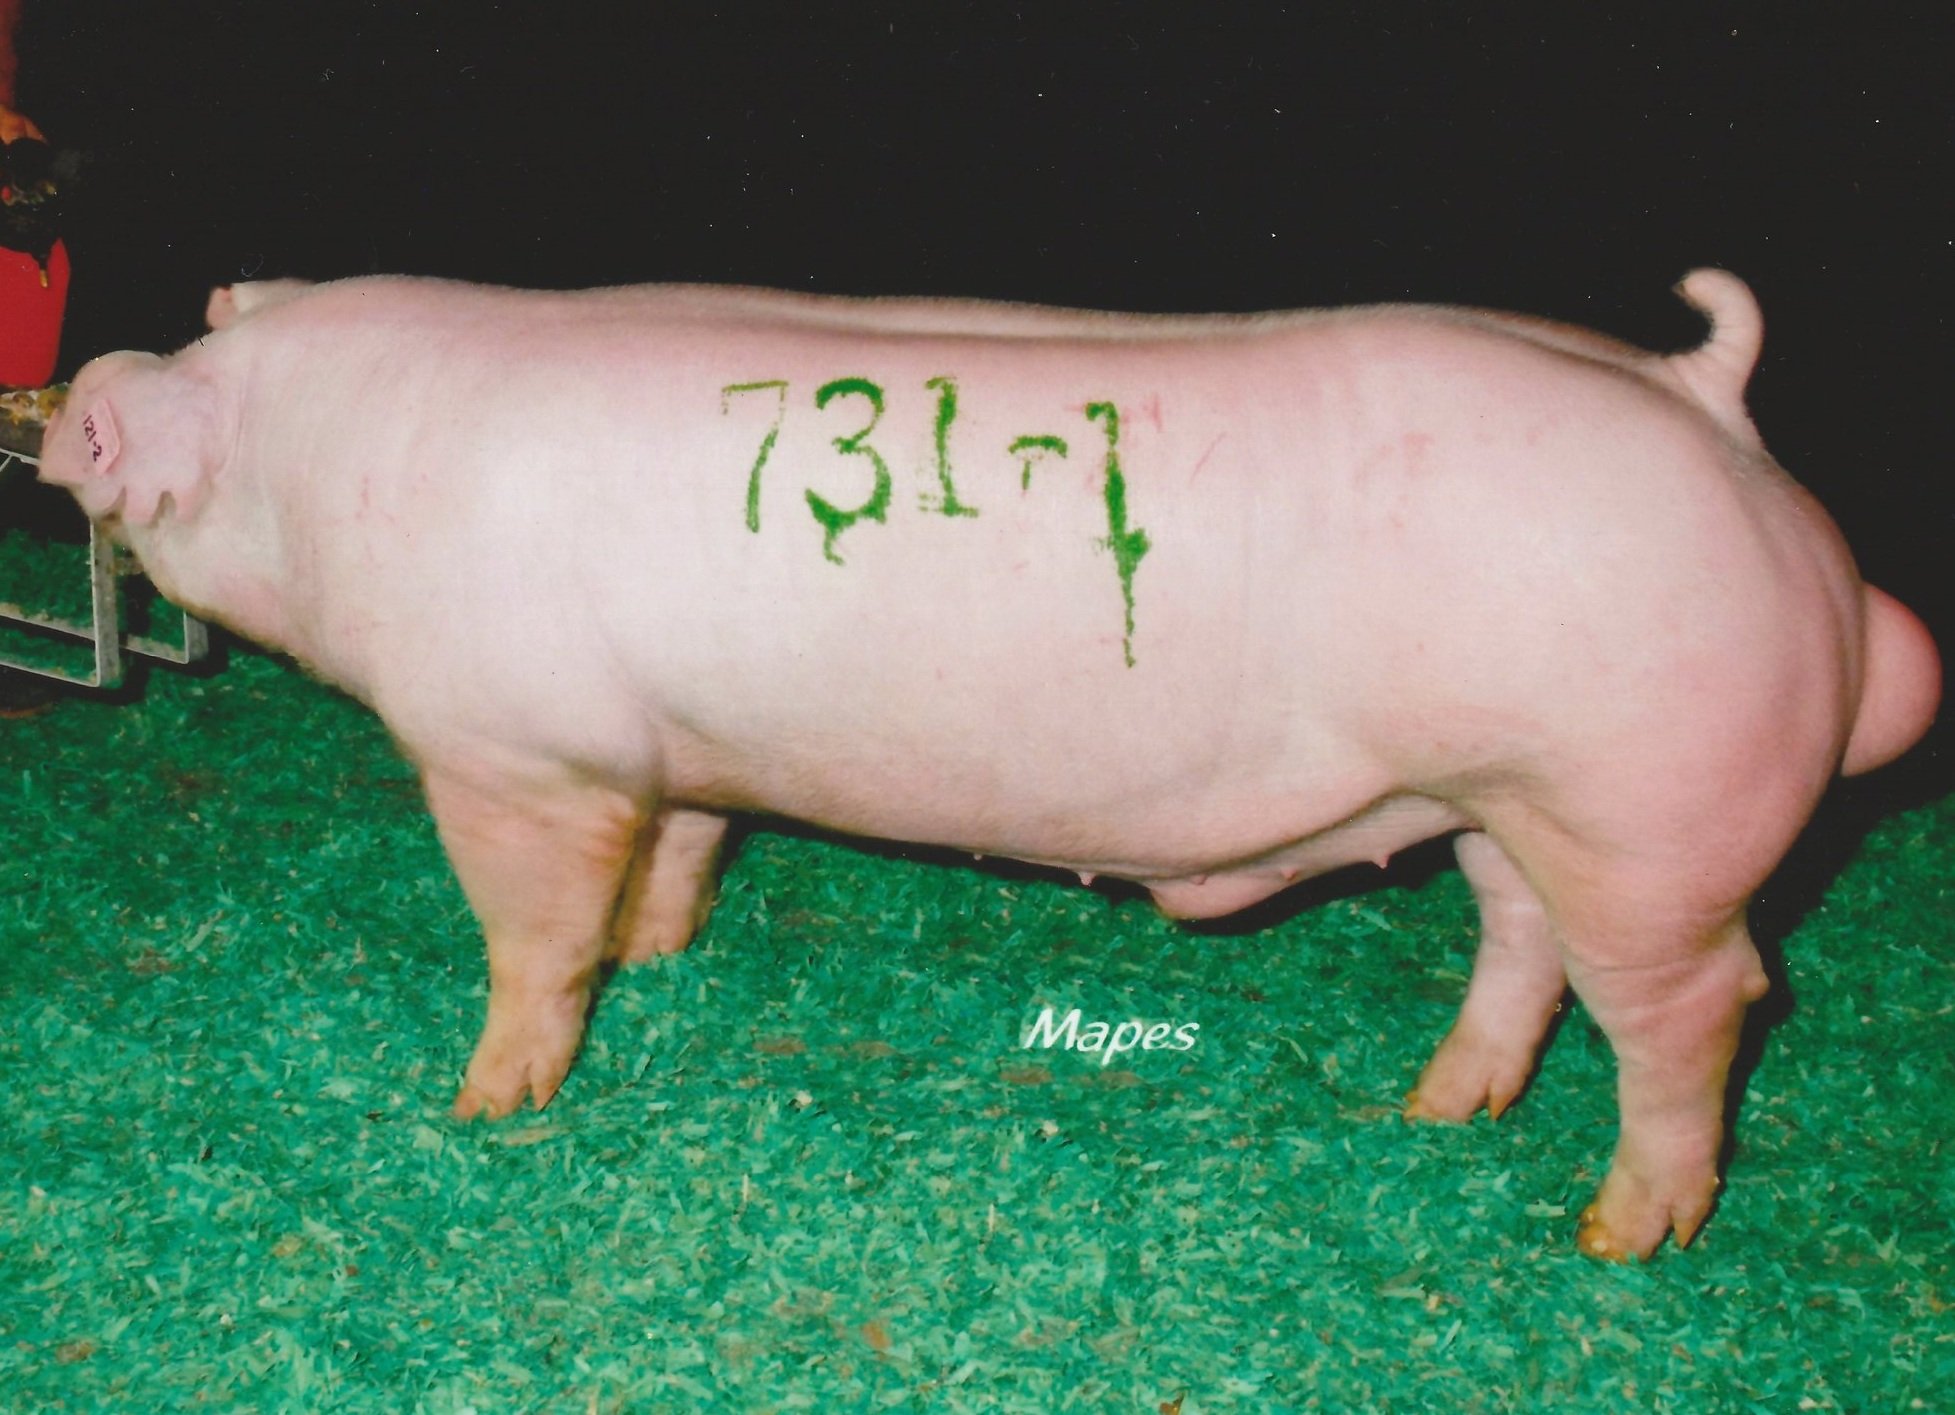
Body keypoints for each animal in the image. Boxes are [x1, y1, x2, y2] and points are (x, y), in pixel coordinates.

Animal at [38, 269, 1939, 1260]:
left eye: (167, 404)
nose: (79, 397)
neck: (335, 461)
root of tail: (1716, 407)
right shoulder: (674, 749)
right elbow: (687, 845)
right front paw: (665, 947)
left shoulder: (518, 747)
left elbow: (535, 932)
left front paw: (487, 1101)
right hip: (1511, 802)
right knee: (1520, 942)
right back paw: (1436, 1107)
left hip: (1645, 814)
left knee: (1701, 1006)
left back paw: (1618, 1233)